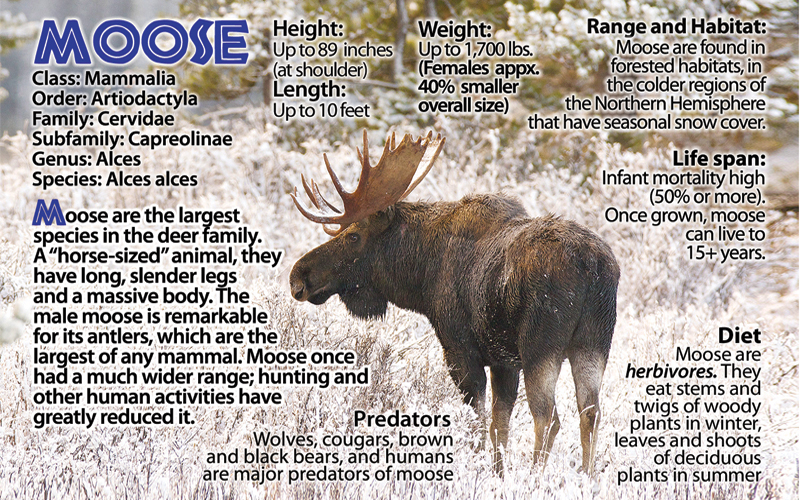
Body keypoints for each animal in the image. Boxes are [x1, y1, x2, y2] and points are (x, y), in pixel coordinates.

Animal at [289, 130, 619, 475]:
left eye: (353, 235)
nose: (298, 277)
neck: (421, 276)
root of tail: (591, 265)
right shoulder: (503, 360)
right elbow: (499, 426)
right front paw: (497, 474)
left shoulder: (460, 349)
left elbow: (477, 423)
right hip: (592, 343)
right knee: (591, 413)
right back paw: (587, 476)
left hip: (540, 346)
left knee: (548, 417)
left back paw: (536, 477)